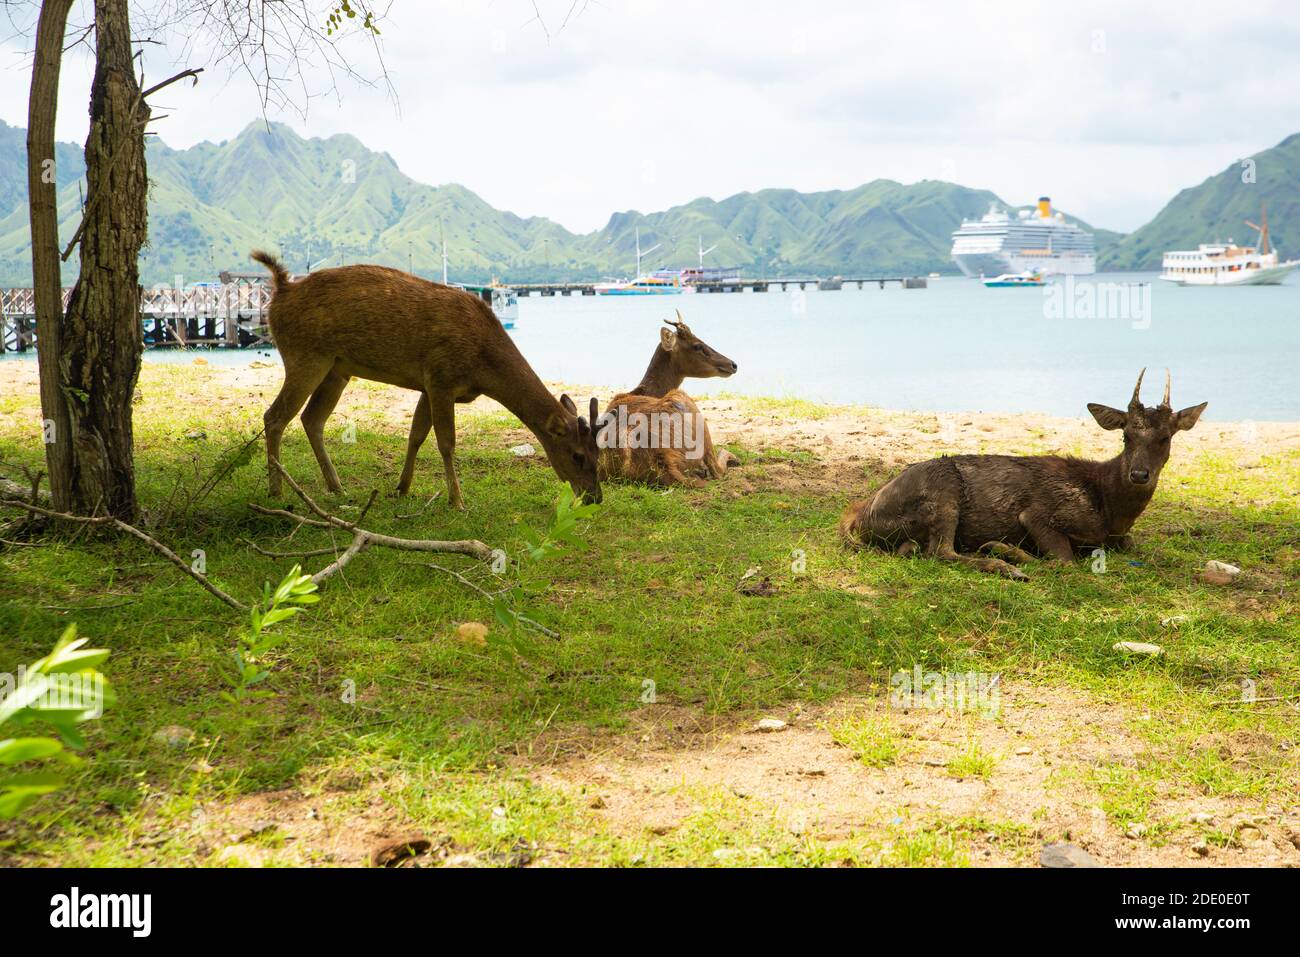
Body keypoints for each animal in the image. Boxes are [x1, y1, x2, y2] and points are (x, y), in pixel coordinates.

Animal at [250, 251, 602, 509]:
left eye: (598, 454)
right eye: (577, 455)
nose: (595, 497)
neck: (482, 369)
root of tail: (280, 290)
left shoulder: (427, 384)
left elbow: (416, 434)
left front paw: (402, 487)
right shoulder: (441, 377)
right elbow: (446, 441)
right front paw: (457, 500)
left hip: (336, 369)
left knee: (312, 419)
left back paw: (336, 487)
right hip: (305, 356)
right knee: (275, 416)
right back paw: (276, 490)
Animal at [839, 369, 1207, 580]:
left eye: (1165, 438)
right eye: (1126, 436)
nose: (1139, 474)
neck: (1109, 510)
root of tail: (859, 515)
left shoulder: (1120, 537)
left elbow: (1131, 544)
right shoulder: (1040, 513)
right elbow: (1063, 559)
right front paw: (1006, 550)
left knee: (917, 550)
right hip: (941, 489)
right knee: (940, 551)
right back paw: (1006, 564)